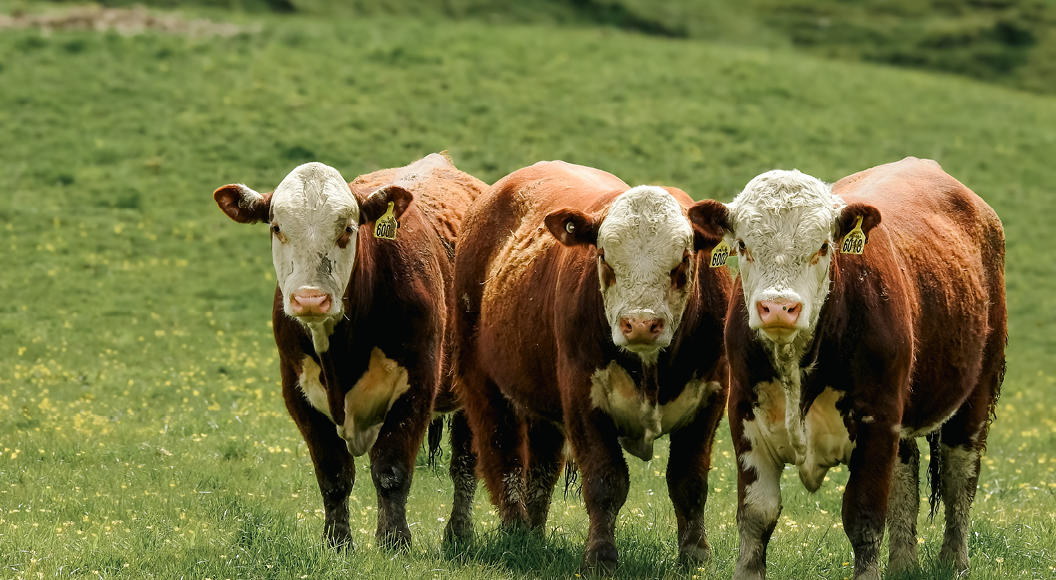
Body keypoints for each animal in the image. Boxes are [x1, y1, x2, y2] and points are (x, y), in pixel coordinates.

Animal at [212, 153, 487, 550]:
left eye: (347, 229)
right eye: (277, 227)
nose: (310, 299)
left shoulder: (418, 384)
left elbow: (391, 470)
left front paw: (394, 542)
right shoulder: (298, 393)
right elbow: (334, 474)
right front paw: (337, 542)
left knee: (464, 464)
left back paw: (458, 533)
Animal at [452, 160, 732, 573]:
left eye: (683, 259)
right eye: (603, 255)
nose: (641, 323)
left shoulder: (710, 400)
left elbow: (689, 482)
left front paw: (695, 556)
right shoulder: (583, 399)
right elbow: (605, 482)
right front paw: (601, 556)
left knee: (541, 469)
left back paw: (534, 535)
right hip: (482, 382)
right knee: (503, 456)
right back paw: (516, 532)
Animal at [688, 157, 1006, 579]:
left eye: (823, 247)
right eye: (742, 244)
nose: (778, 308)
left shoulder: (876, 419)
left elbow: (864, 516)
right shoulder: (744, 413)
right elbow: (757, 514)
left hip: (977, 391)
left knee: (960, 475)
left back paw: (954, 561)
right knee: (906, 473)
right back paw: (903, 563)